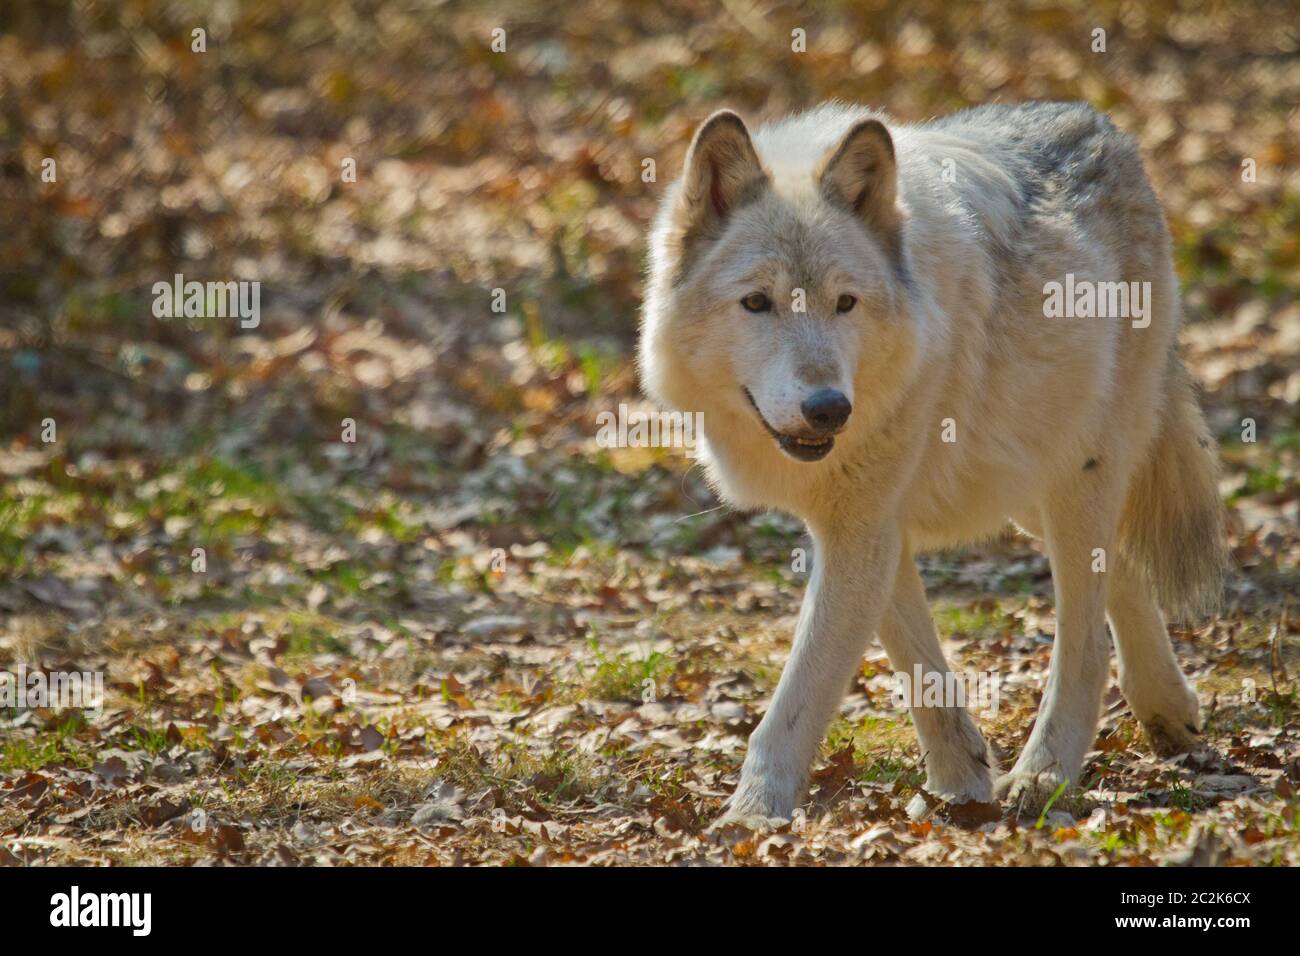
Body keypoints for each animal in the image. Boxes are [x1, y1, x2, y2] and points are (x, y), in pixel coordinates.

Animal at [638, 101, 1225, 823]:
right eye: (756, 302)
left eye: (845, 302)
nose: (829, 408)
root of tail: (1100, 125)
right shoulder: (866, 525)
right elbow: (920, 667)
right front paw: (961, 780)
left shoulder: (860, 532)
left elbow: (797, 699)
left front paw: (752, 815)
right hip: (1030, 491)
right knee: (1123, 574)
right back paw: (1168, 711)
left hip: (1078, 479)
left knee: (1085, 640)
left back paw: (1046, 774)